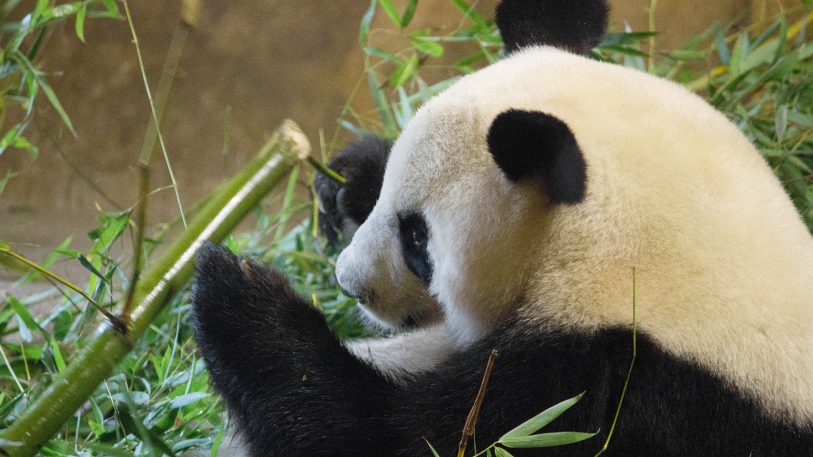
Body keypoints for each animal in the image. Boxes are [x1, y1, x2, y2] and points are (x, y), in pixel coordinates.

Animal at [191, 0, 813, 455]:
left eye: (417, 239)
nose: (349, 283)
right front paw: (347, 182)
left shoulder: (620, 388)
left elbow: (410, 438)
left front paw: (237, 294)